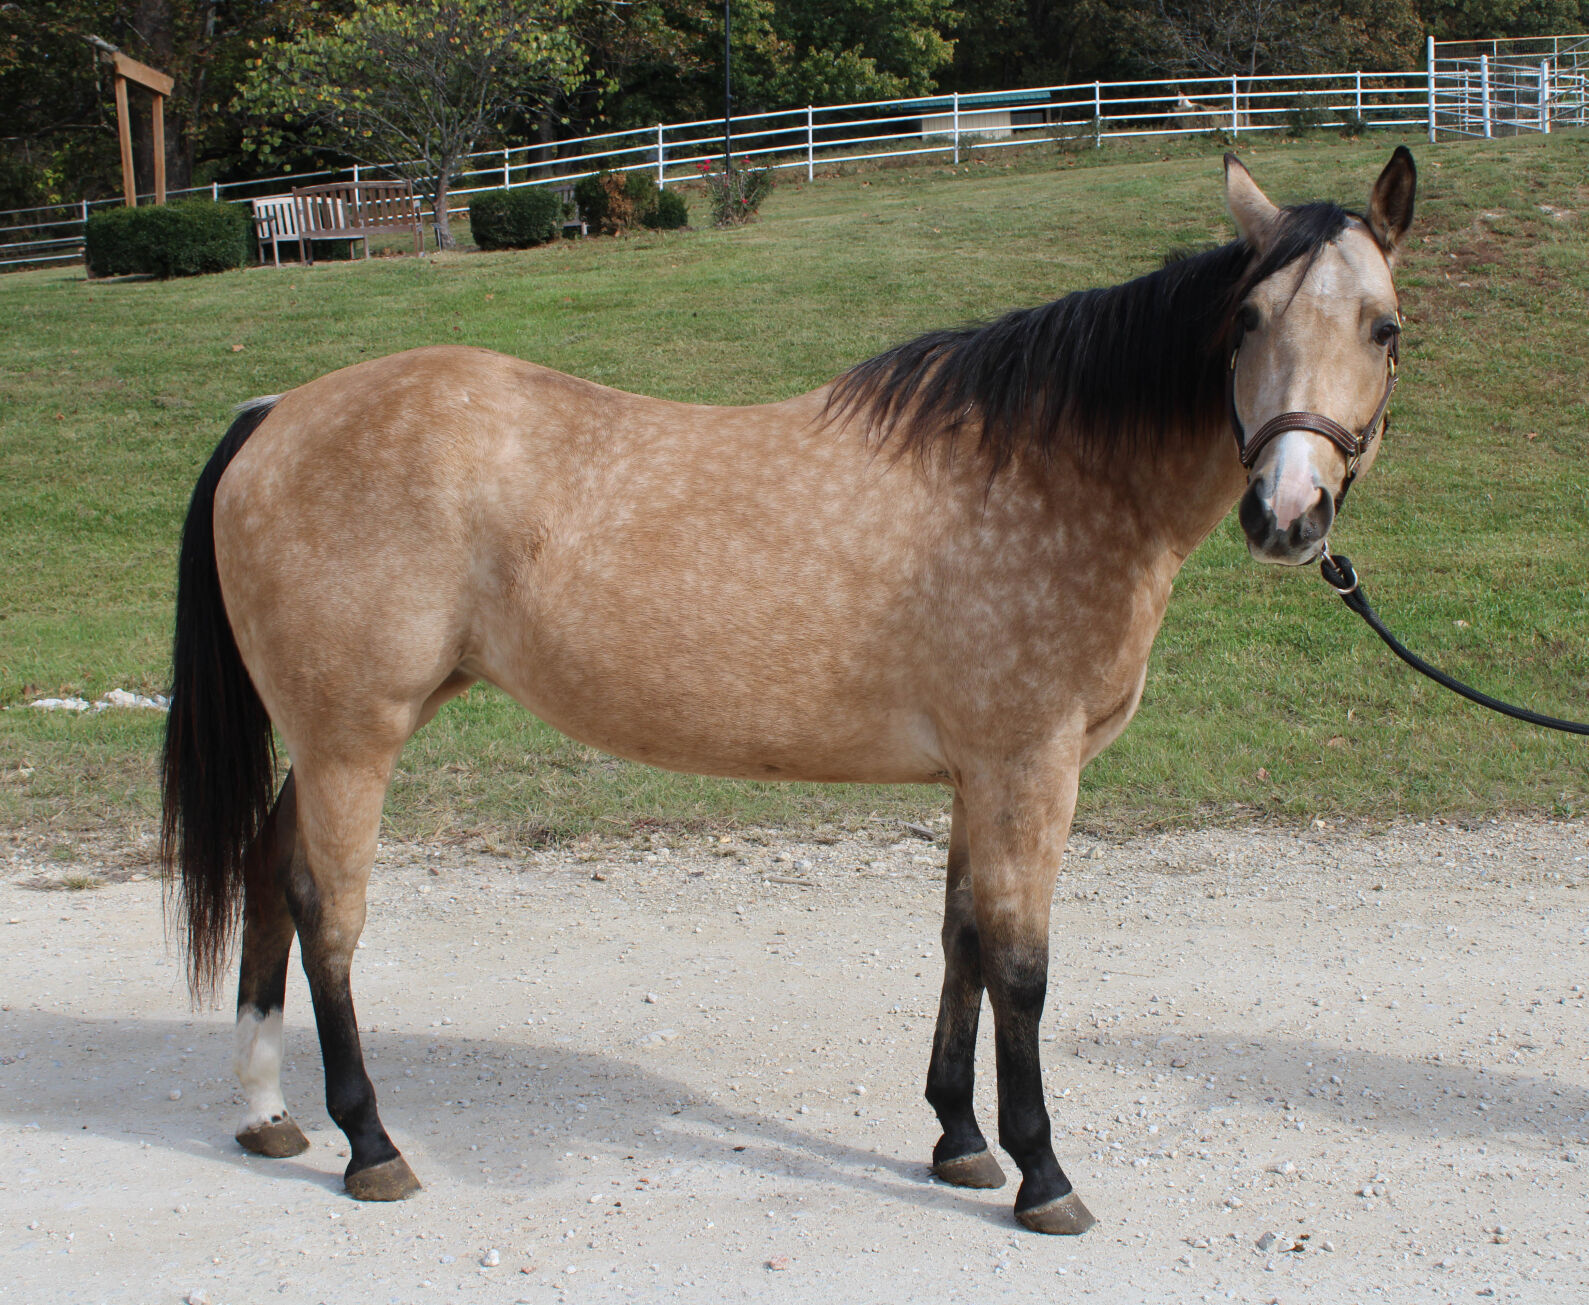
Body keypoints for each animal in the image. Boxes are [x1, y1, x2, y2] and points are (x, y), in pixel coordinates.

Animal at [160, 148, 1416, 1233]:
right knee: (327, 911)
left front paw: (959, 1141)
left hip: (335, 734)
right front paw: (1042, 1173)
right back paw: (370, 1146)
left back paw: (268, 1114)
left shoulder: (976, 774)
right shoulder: (1028, 768)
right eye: (1245, 321)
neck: (1054, 473)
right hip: (350, 739)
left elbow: (961, 940)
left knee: (268, 877)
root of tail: (275, 414)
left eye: (1382, 327)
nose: (1287, 514)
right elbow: (1020, 967)